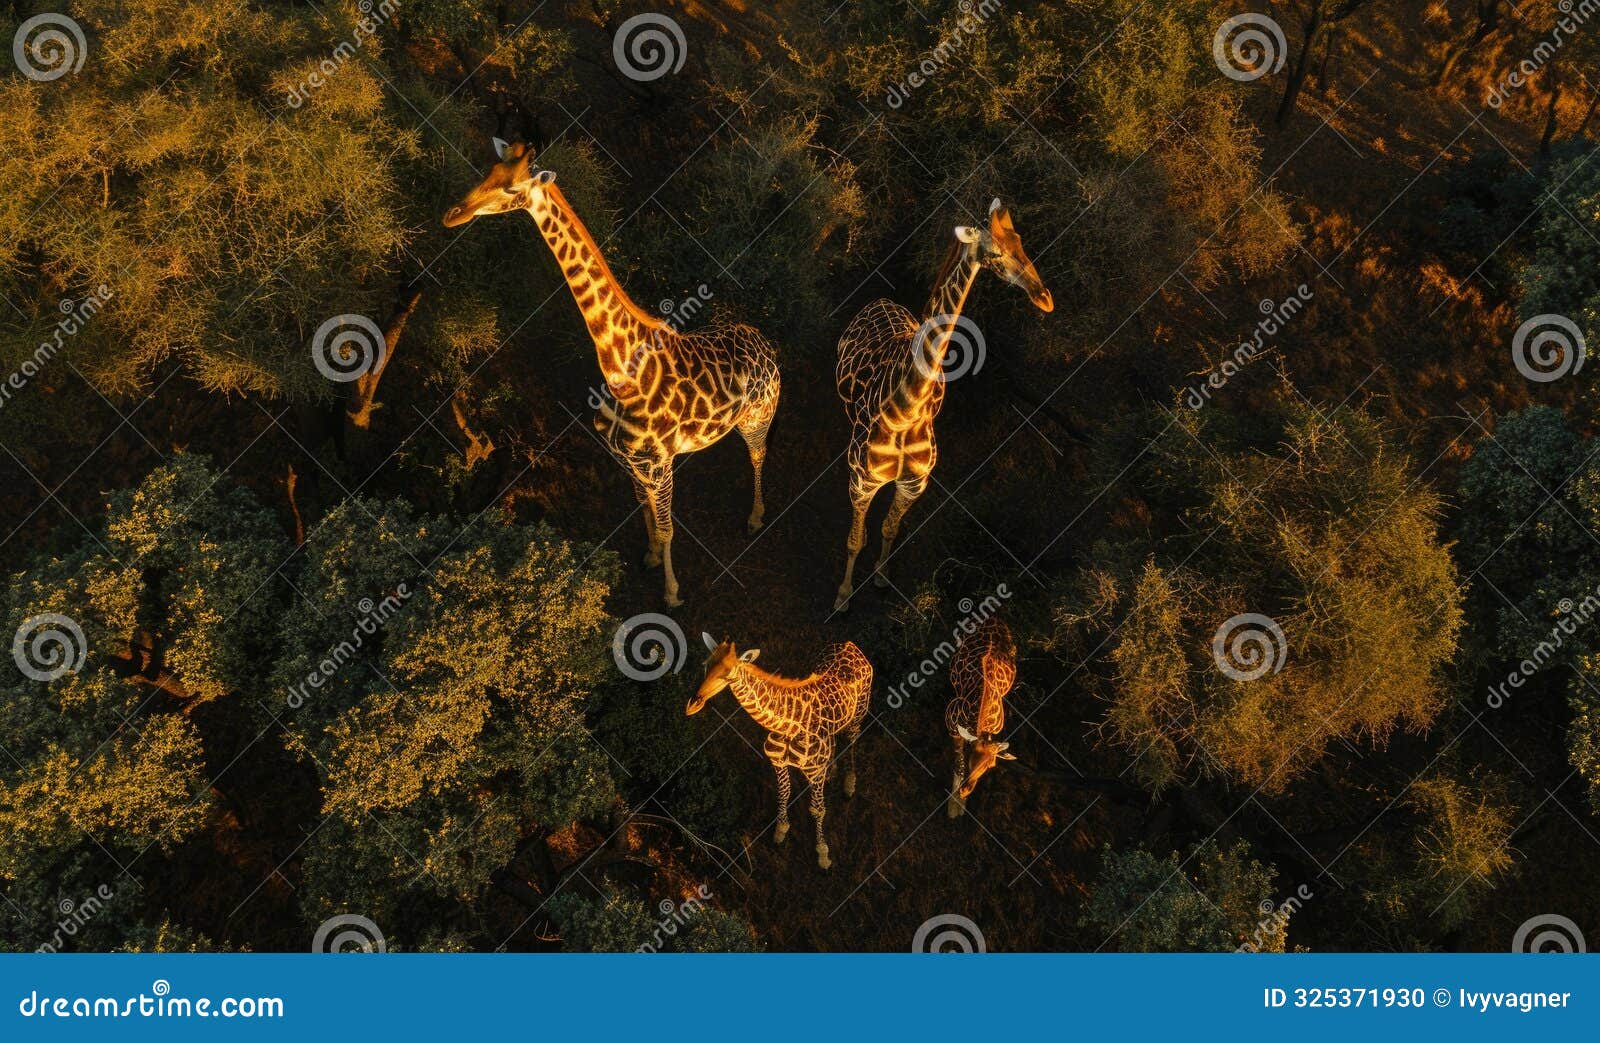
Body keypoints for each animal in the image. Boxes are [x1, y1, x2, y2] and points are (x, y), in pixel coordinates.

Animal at [443, 139, 781, 607]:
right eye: (488, 171)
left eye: (512, 188)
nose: (452, 214)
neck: (623, 374)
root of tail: (764, 342)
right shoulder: (627, 460)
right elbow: (644, 509)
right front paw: (651, 557)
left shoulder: (660, 464)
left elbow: (669, 526)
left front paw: (672, 594)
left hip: (757, 417)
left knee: (757, 454)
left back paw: (754, 518)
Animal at [688, 632, 872, 869]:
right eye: (705, 665)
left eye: (728, 676)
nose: (692, 705)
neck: (787, 726)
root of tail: (851, 645)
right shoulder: (777, 761)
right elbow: (784, 793)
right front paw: (780, 832)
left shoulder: (814, 772)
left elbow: (817, 808)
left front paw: (823, 855)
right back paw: (833, 770)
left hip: (859, 714)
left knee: (851, 741)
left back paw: (849, 784)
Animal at [832, 199, 1052, 611]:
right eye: (995, 253)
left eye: (1020, 242)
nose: (1044, 297)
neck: (905, 411)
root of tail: (883, 300)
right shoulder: (862, 482)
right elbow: (855, 539)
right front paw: (842, 596)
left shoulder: (914, 484)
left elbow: (889, 528)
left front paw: (882, 577)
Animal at [944, 615, 1017, 818]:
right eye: (972, 757)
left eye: (991, 765)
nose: (965, 790)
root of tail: (996, 617)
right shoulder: (951, 725)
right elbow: (958, 764)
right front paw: (954, 807)